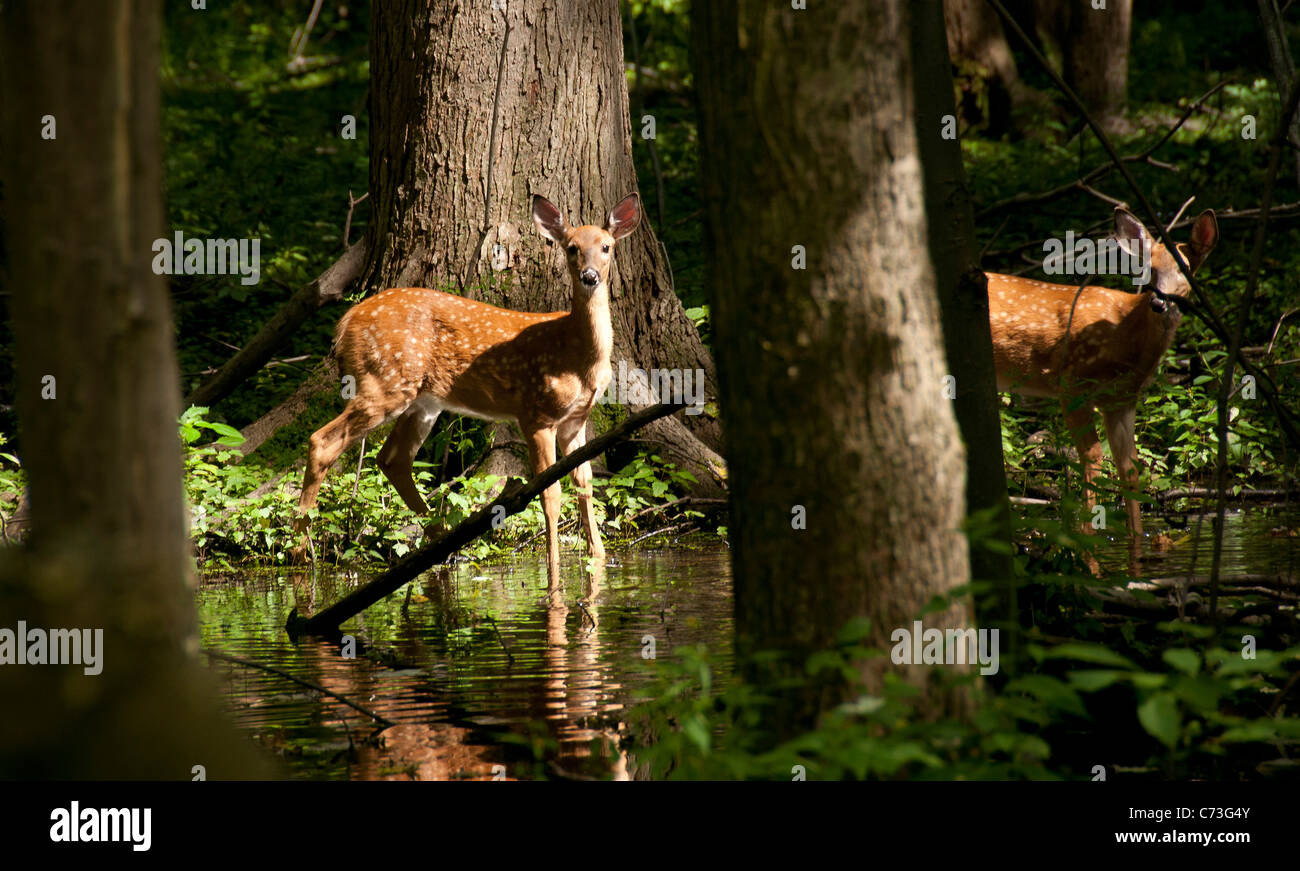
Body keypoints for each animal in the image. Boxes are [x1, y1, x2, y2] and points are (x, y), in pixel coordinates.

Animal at [291, 193, 643, 586]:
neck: (577, 354)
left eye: (606, 247)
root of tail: (345, 322)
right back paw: (300, 553)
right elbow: (549, 494)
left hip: (424, 402)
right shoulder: (536, 414)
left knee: (392, 459)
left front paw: (599, 559)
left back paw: (442, 544)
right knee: (322, 441)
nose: (590, 276)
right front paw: (554, 573)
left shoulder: (575, 421)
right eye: (571, 248)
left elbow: (585, 485)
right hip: (384, 380)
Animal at [986, 206, 1218, 566]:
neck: (1126, 337)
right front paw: (1085, 540)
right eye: (1149, 268)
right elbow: (1093, 455)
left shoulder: (1122, 400)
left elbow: (1129, 466)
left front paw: (1136, 542)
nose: (1158, 303)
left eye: (1185, 269)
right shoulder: (1072, 381)